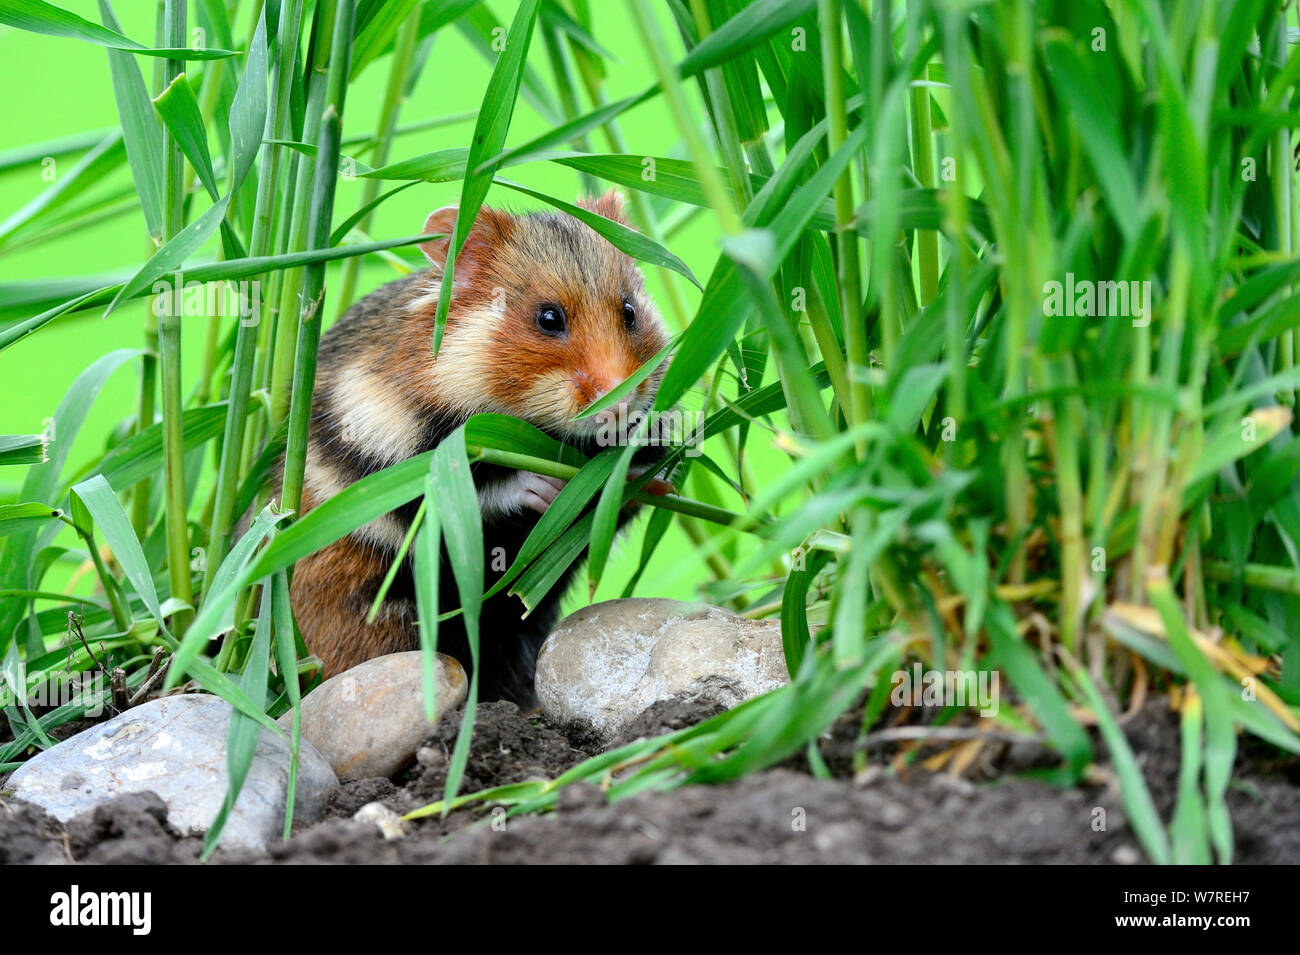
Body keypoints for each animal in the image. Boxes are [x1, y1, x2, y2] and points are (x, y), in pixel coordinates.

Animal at [286, 190, 672, 705]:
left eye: (629, 312)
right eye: (548, 318)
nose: (619, 405)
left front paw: (651, 474)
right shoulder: (383, 466)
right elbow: (465, 493)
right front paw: (540, 488)